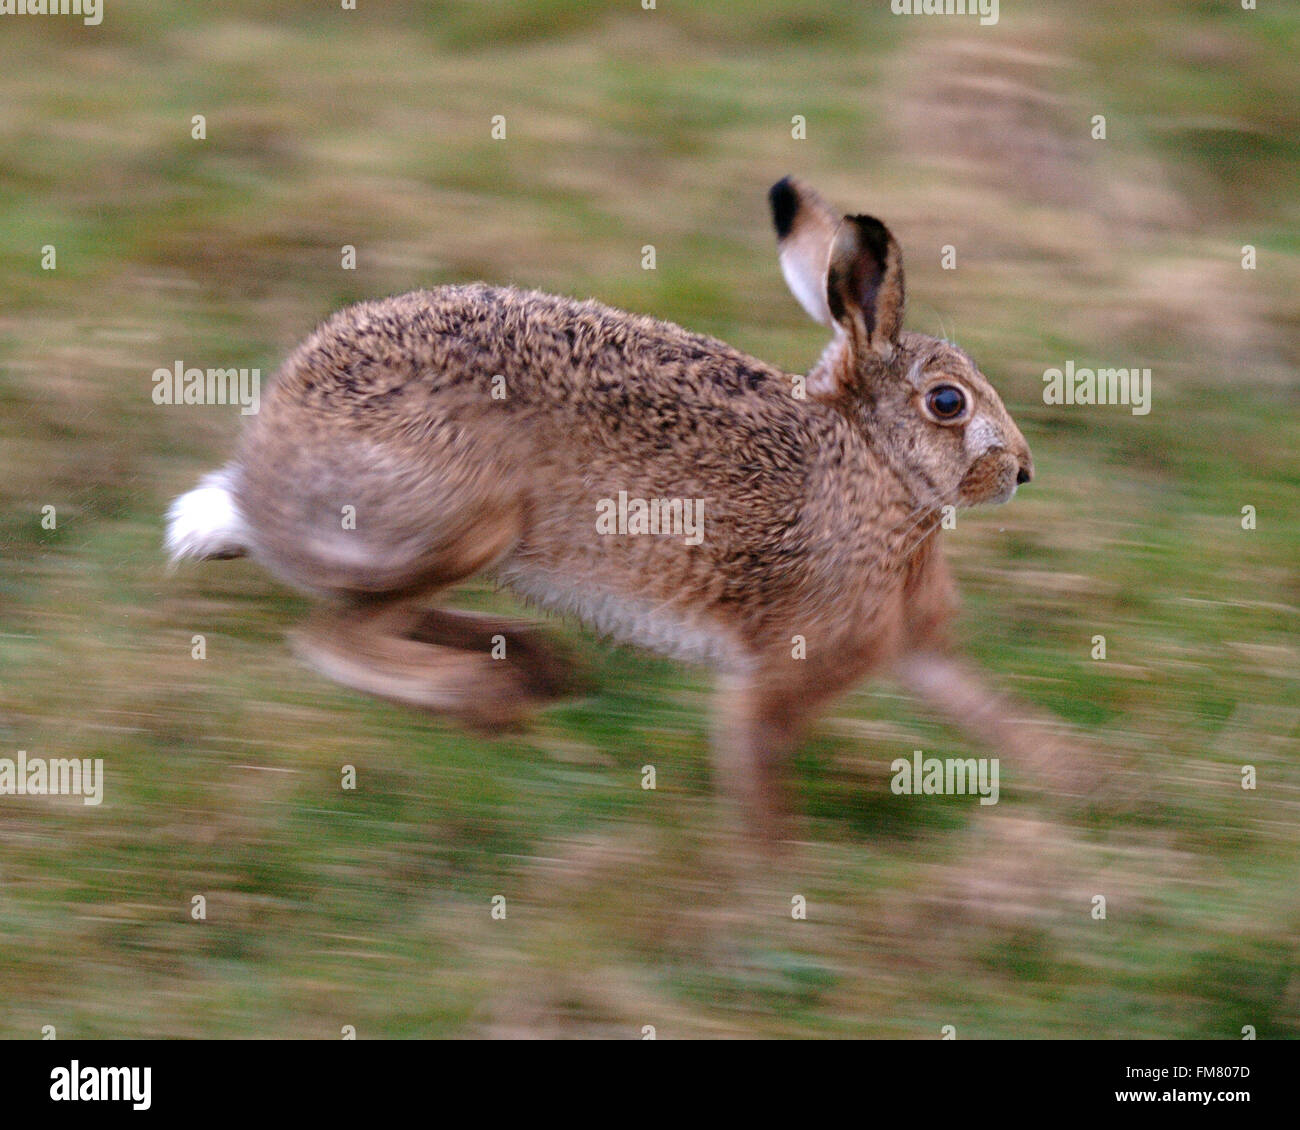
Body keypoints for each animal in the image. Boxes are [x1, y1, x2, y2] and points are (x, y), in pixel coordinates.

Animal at [166, 176, 1035, 835]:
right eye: (948, 402)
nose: (1022, 472)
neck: (871, 462)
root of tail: (254, 483)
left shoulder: (917, 645)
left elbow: (999, 719)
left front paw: (1067, 786)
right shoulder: (790, 664)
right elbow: (756, 769)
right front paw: (766, 899)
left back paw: (530, 665)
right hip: (465, 520)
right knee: (335, 637)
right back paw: (491, 693)